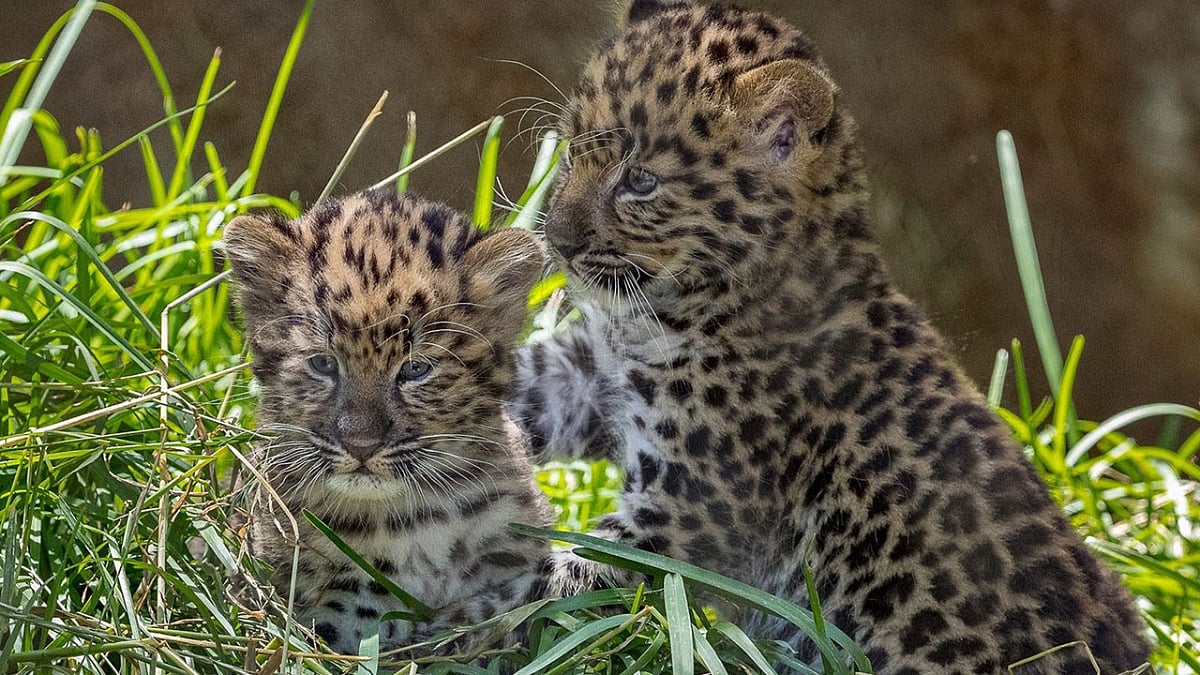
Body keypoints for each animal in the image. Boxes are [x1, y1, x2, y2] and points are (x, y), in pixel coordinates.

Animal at [508, 0, 1152, 672]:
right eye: (571, 151)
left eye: (639, 181)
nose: (555, 239)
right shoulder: (588, 374)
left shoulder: (689, 515)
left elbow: (567, 577)